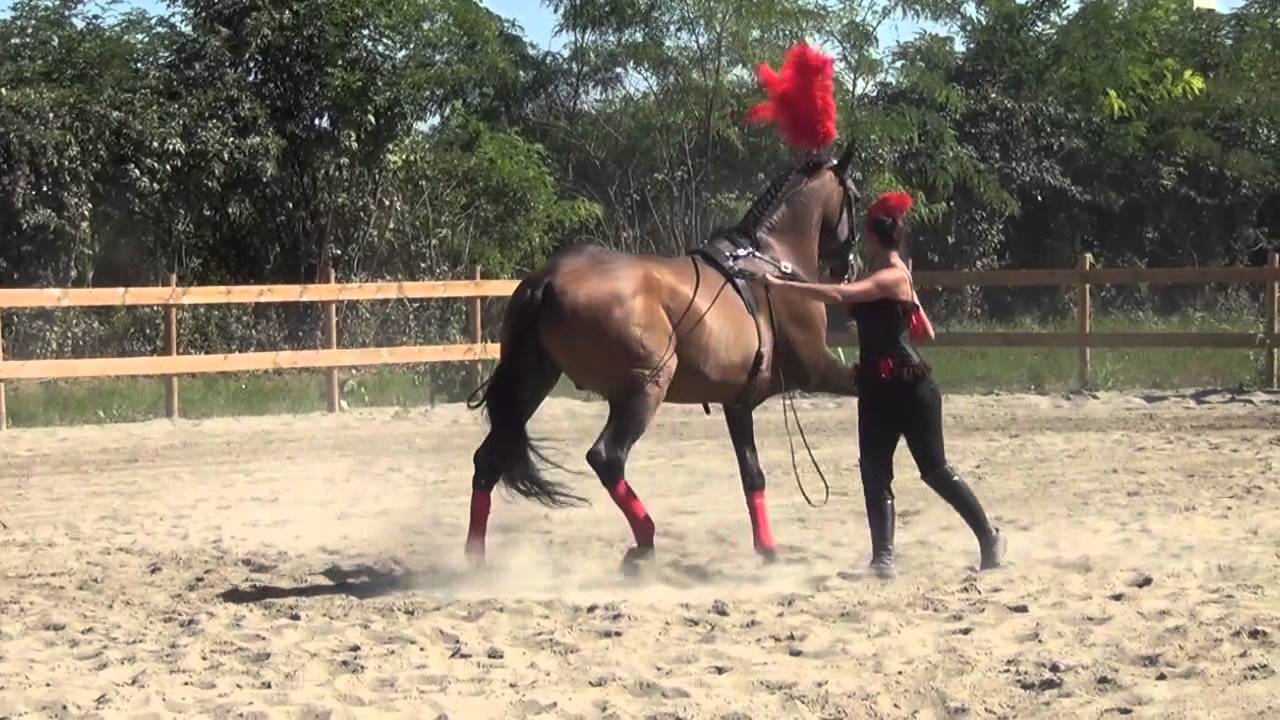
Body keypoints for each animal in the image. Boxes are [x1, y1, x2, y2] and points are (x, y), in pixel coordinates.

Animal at [464, 145, 863, 569]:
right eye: (854, 197)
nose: (848, 267)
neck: (770, 262)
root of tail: (547, 280)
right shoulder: (818, 369)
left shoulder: (738, 403)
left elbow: (752, 475)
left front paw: (767, 548)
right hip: (646, 388)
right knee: (607, 458)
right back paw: (644, 542)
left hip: (533, 382)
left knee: (488, 461)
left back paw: (474, 559)